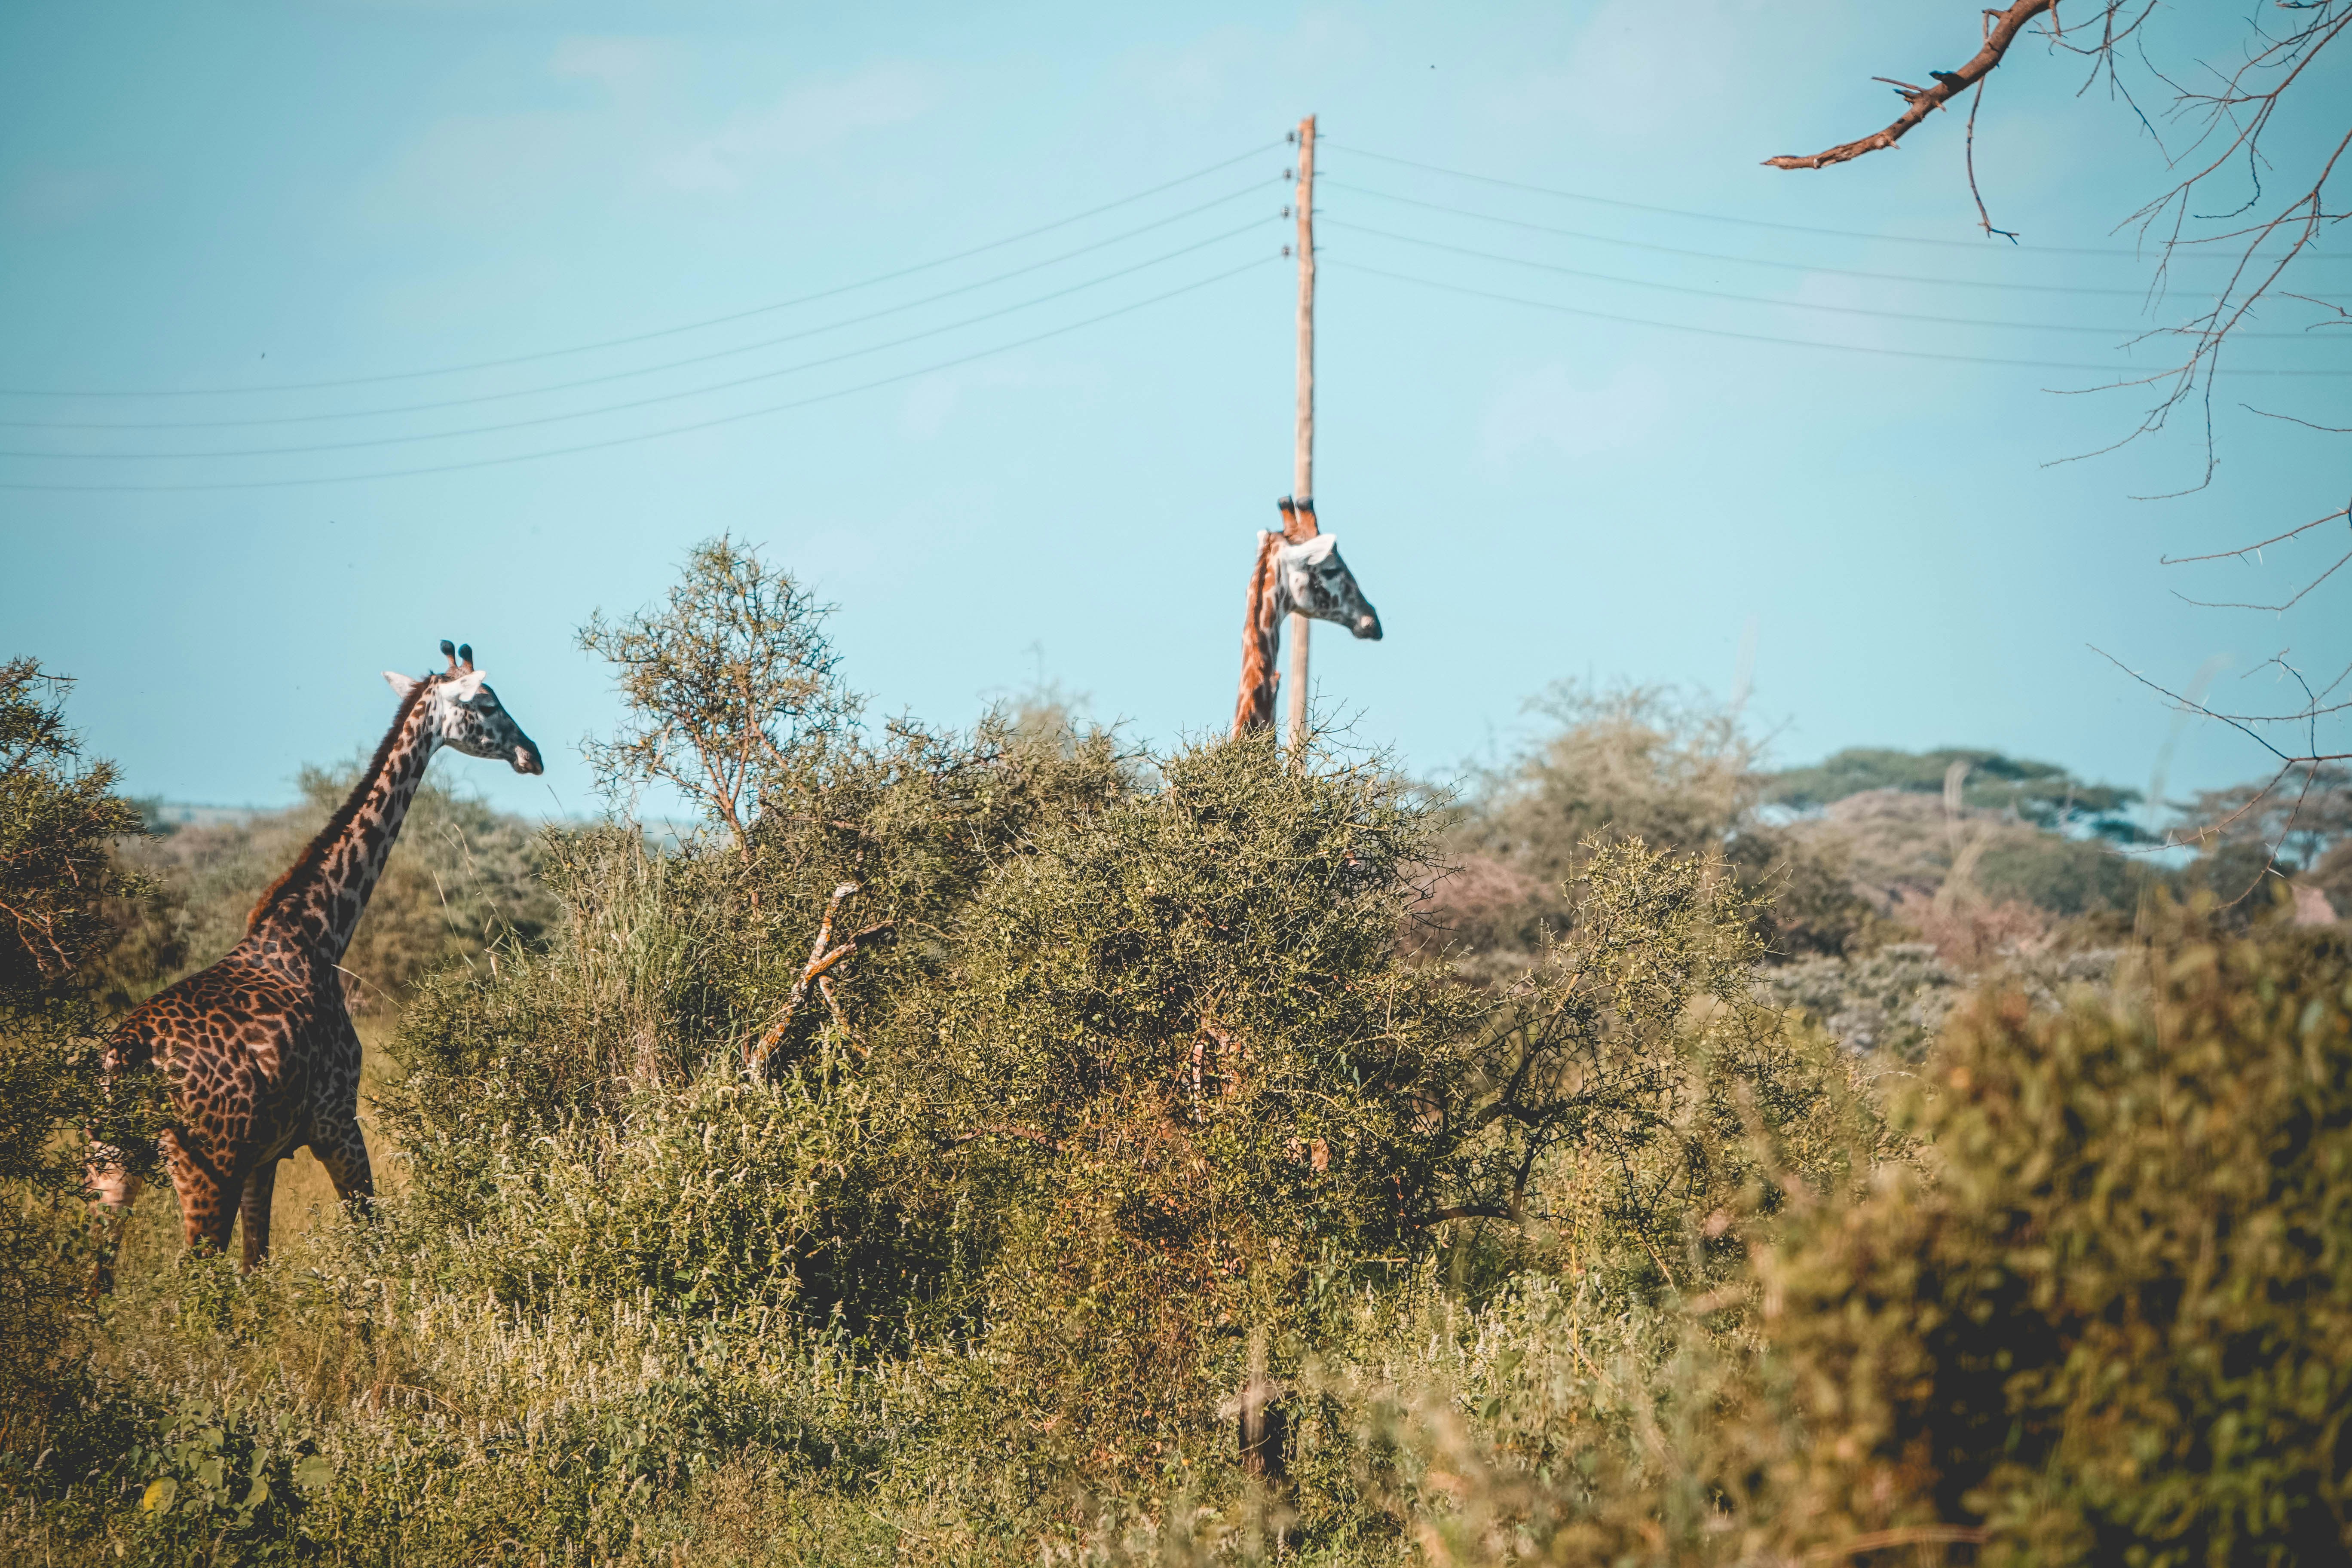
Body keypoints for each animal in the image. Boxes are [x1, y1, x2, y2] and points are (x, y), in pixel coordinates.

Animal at [88, 641, 541, 1285]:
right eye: (487, 703)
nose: (534, 755)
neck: (319, 934)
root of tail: (126, 1056)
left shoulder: (265, 1156)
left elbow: (257, 1266)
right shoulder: (337, 1124)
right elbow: (372, 1239)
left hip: (110, 1166)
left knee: (94, 1282)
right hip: (203, 1168)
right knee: (191, 1281)